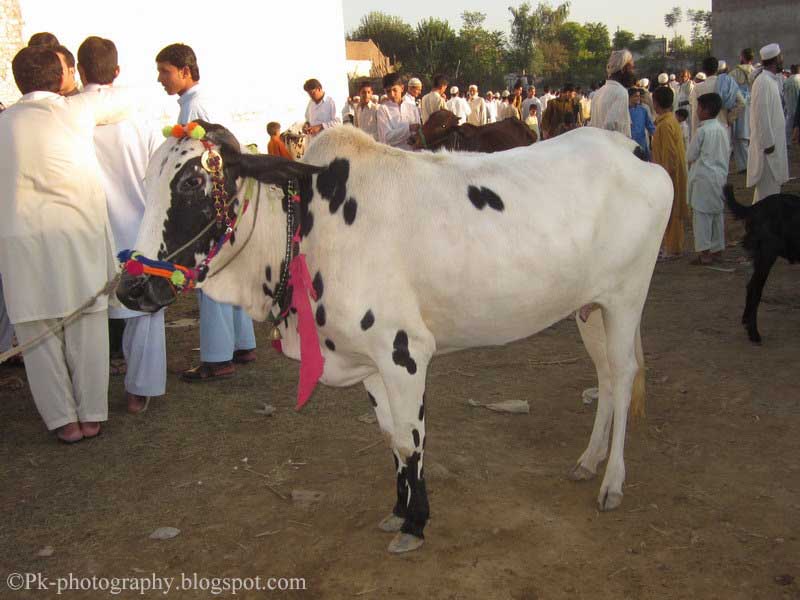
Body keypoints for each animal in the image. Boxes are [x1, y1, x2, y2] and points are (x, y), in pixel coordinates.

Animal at [118, 122, 672, 554]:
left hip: (627, 296)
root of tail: (632, 149)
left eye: (193, 181)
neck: (310, 228)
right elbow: (390, 438)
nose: (130, 287)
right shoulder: (368, 362)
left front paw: (417, 522)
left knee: (624, 376)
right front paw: (399, 510)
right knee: (605, 376)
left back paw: (612, 480)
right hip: (588, 308)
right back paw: (588, 460)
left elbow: (410, 439)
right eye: (147, 180)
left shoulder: (403, 352)